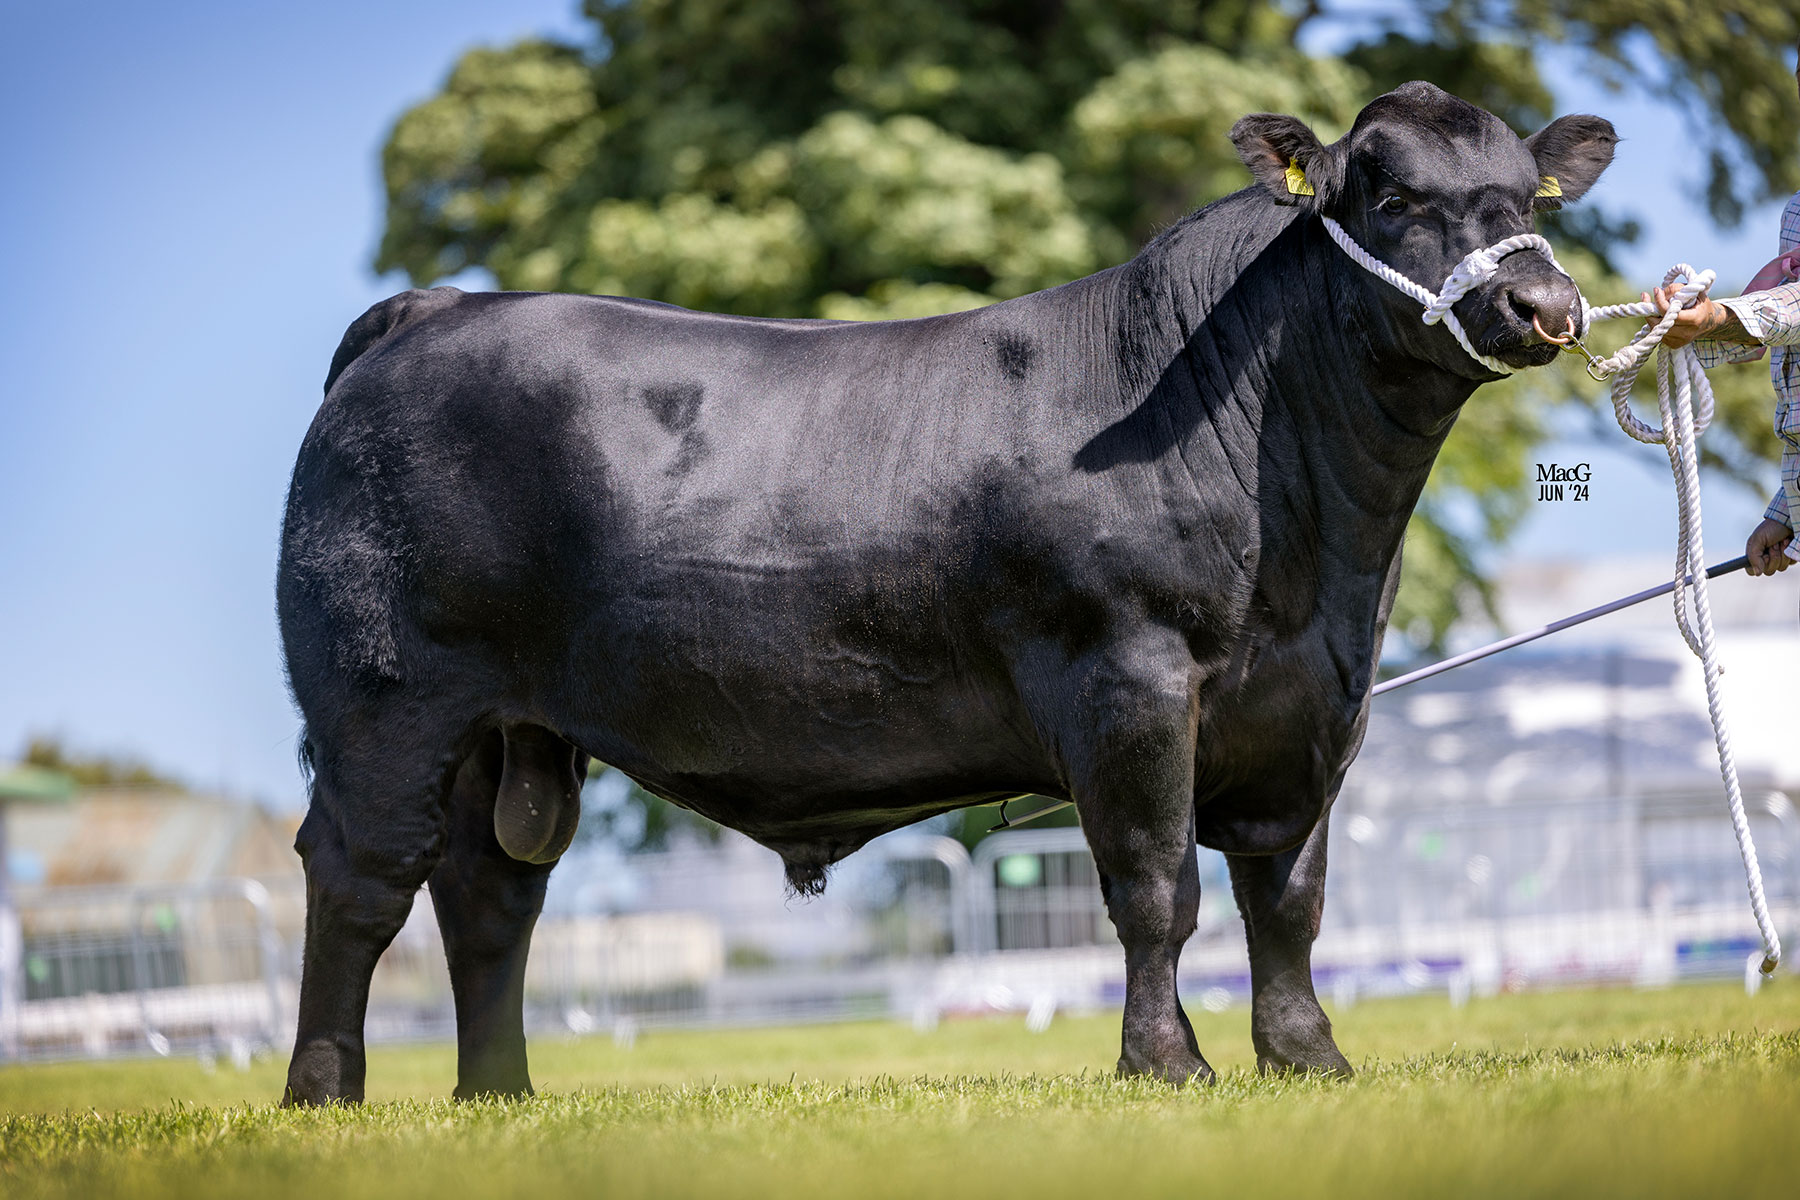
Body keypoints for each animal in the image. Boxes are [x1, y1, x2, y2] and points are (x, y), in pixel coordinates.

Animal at [276, 81, 1614, 1103]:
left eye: (1529, 198)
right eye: (1395, 199)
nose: (1547, 304)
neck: (1320, 555)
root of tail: (437, 308)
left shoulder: (1315, 705)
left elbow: (1287, 898)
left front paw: (1307, 1060)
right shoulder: (1126, 675)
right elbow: (1157, 888)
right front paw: (1167, 1065)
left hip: (507, 727)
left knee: (487, 896)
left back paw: (498, 1096)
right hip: (386, 701)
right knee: (360, 879)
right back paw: (326, 1094)